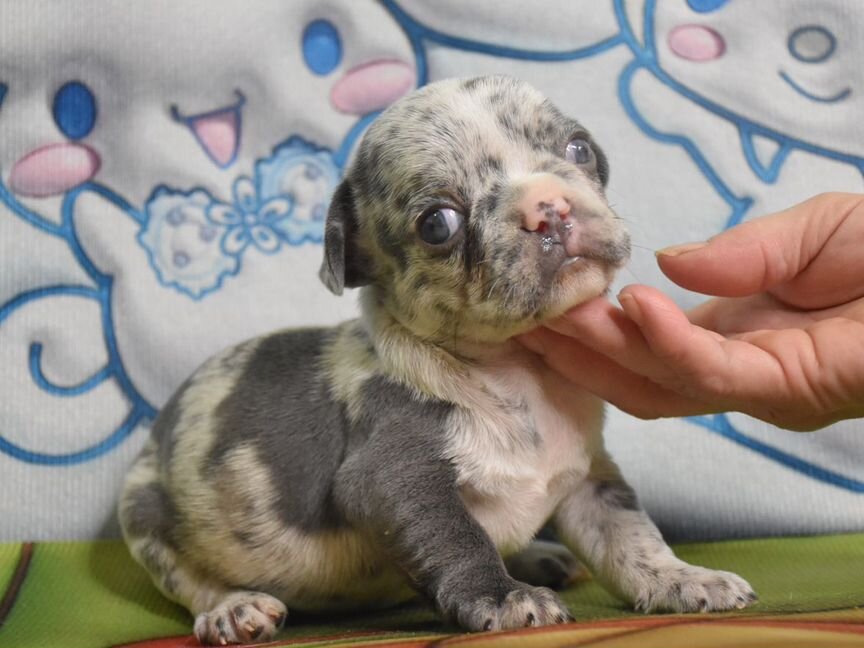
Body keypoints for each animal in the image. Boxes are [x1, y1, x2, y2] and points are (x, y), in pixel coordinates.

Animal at [118, 74, 752, 644]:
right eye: (438, 224)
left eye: (579, 149)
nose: (547, 207)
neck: (515, 372)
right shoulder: (397, 476)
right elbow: (456, 537)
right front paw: (503, 598)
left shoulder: (589, 482)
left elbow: (630, 537)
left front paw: (683, 579)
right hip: (144, 512)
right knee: (187, 580)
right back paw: (232, 609)